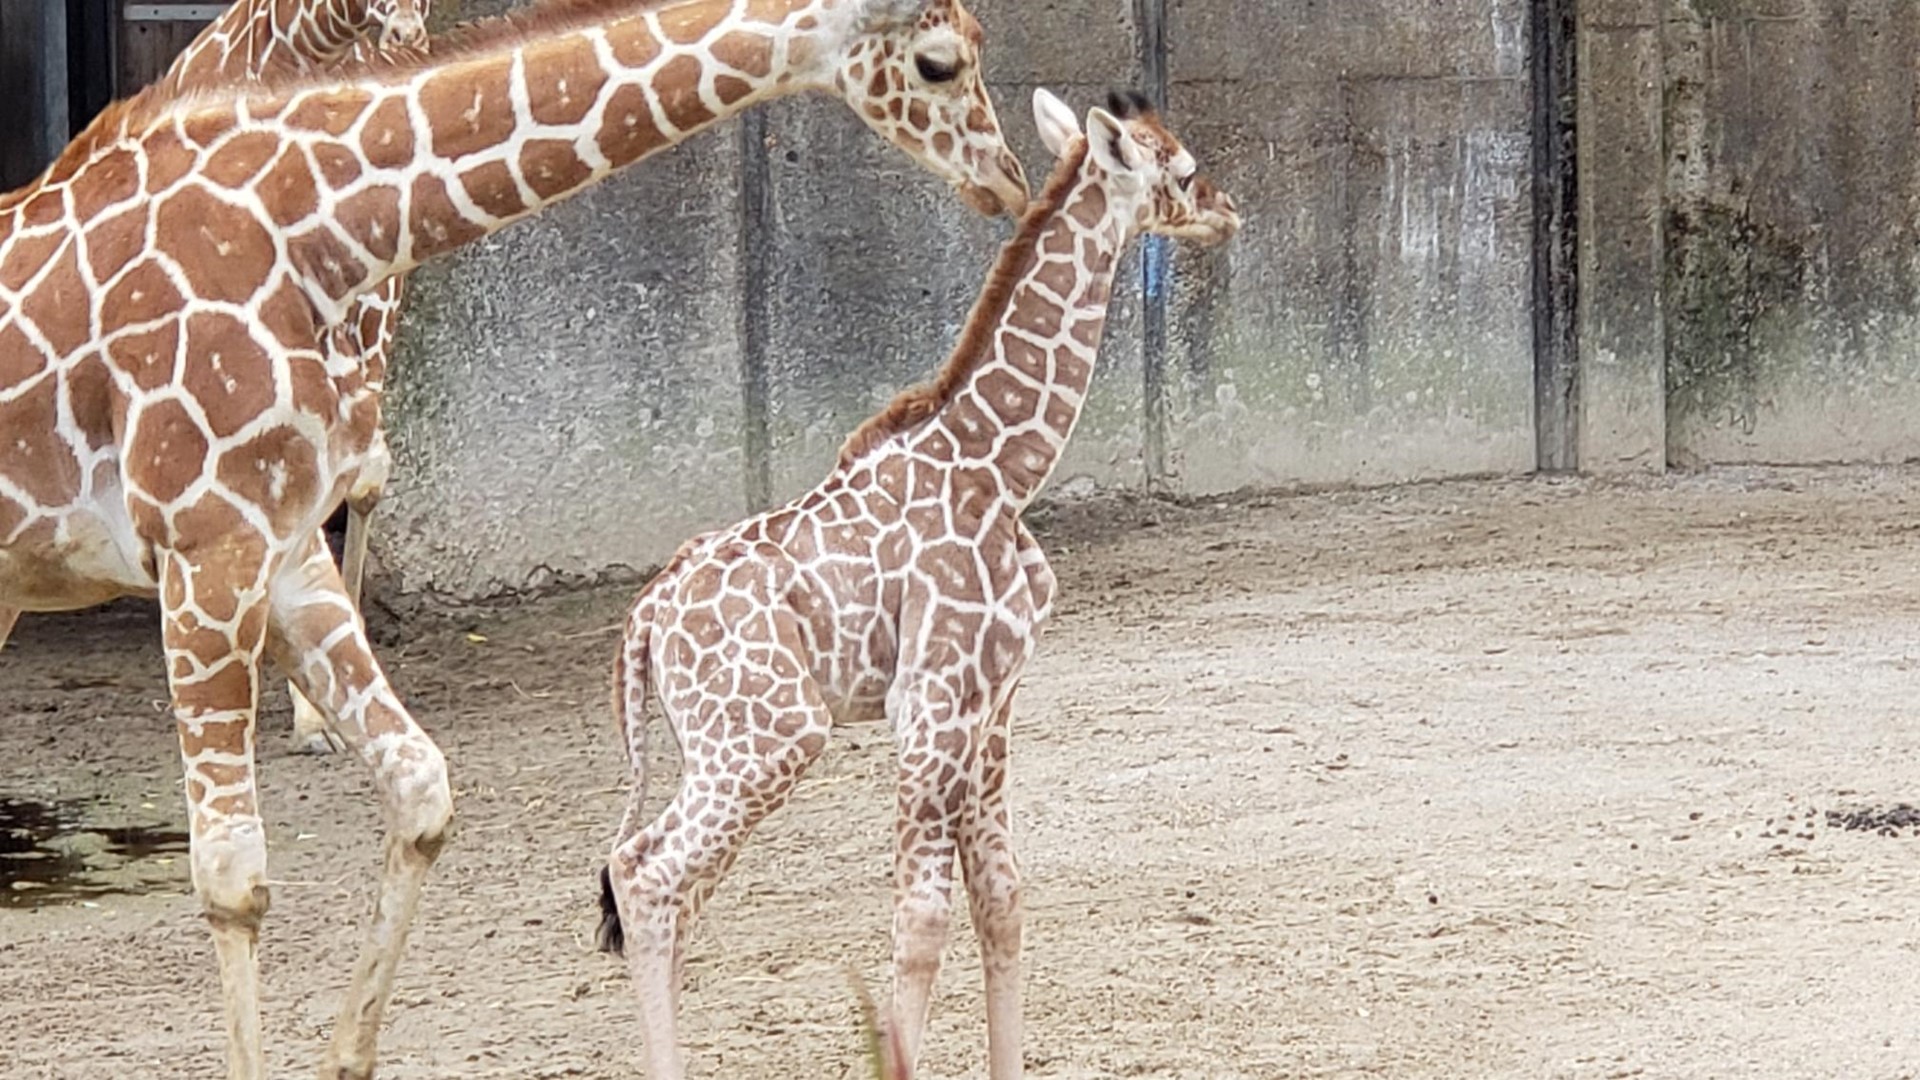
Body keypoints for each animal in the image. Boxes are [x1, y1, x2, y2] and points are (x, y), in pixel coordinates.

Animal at [0, 1, 1028, 1076]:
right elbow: (232, 876)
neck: (309, 223)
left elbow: (422, 792)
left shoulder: (281, 550)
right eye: (940, 63)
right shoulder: (205, 548)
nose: (1006, 181)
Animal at [595, 87, 1239, 1080]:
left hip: (724, 744)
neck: (1004, 467)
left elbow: (1001, 899)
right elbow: (921, 919)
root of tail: (646, 620)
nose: (1228, 208)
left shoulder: (993, 703)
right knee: (647, 876)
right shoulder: (930, 706)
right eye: (1181, 167)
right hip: (771, 733)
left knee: (660, 881)